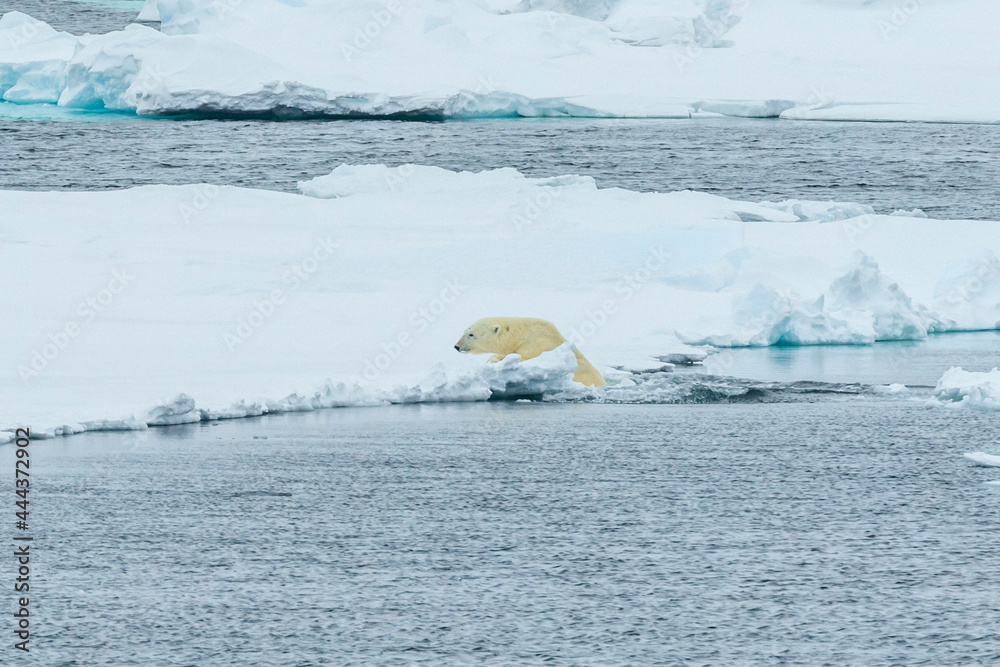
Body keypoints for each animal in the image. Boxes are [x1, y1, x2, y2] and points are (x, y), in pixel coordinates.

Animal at [454, 317, 606, 387]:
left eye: (471, 334)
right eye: (464, 331)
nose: (456, 346)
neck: (521, 334)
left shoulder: (535, 345)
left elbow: (524, 359)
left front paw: (495, 361)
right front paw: (494, 358)